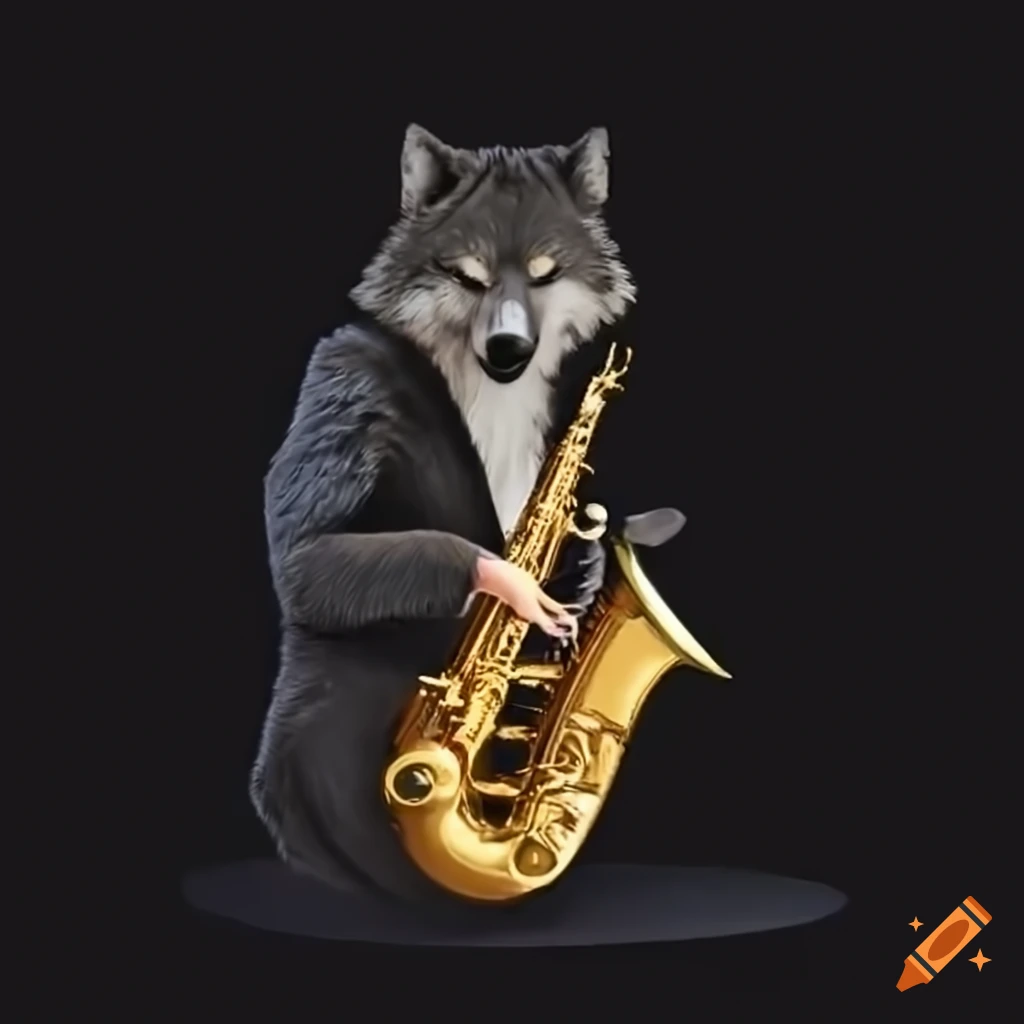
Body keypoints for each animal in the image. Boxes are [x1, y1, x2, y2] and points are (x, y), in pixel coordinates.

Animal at [249, 125, 655, 911]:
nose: (510, 348)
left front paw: (581, 562)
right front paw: (515, 586)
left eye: (547, 274)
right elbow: (309, 561)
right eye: (467, 277)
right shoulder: (341, 381)